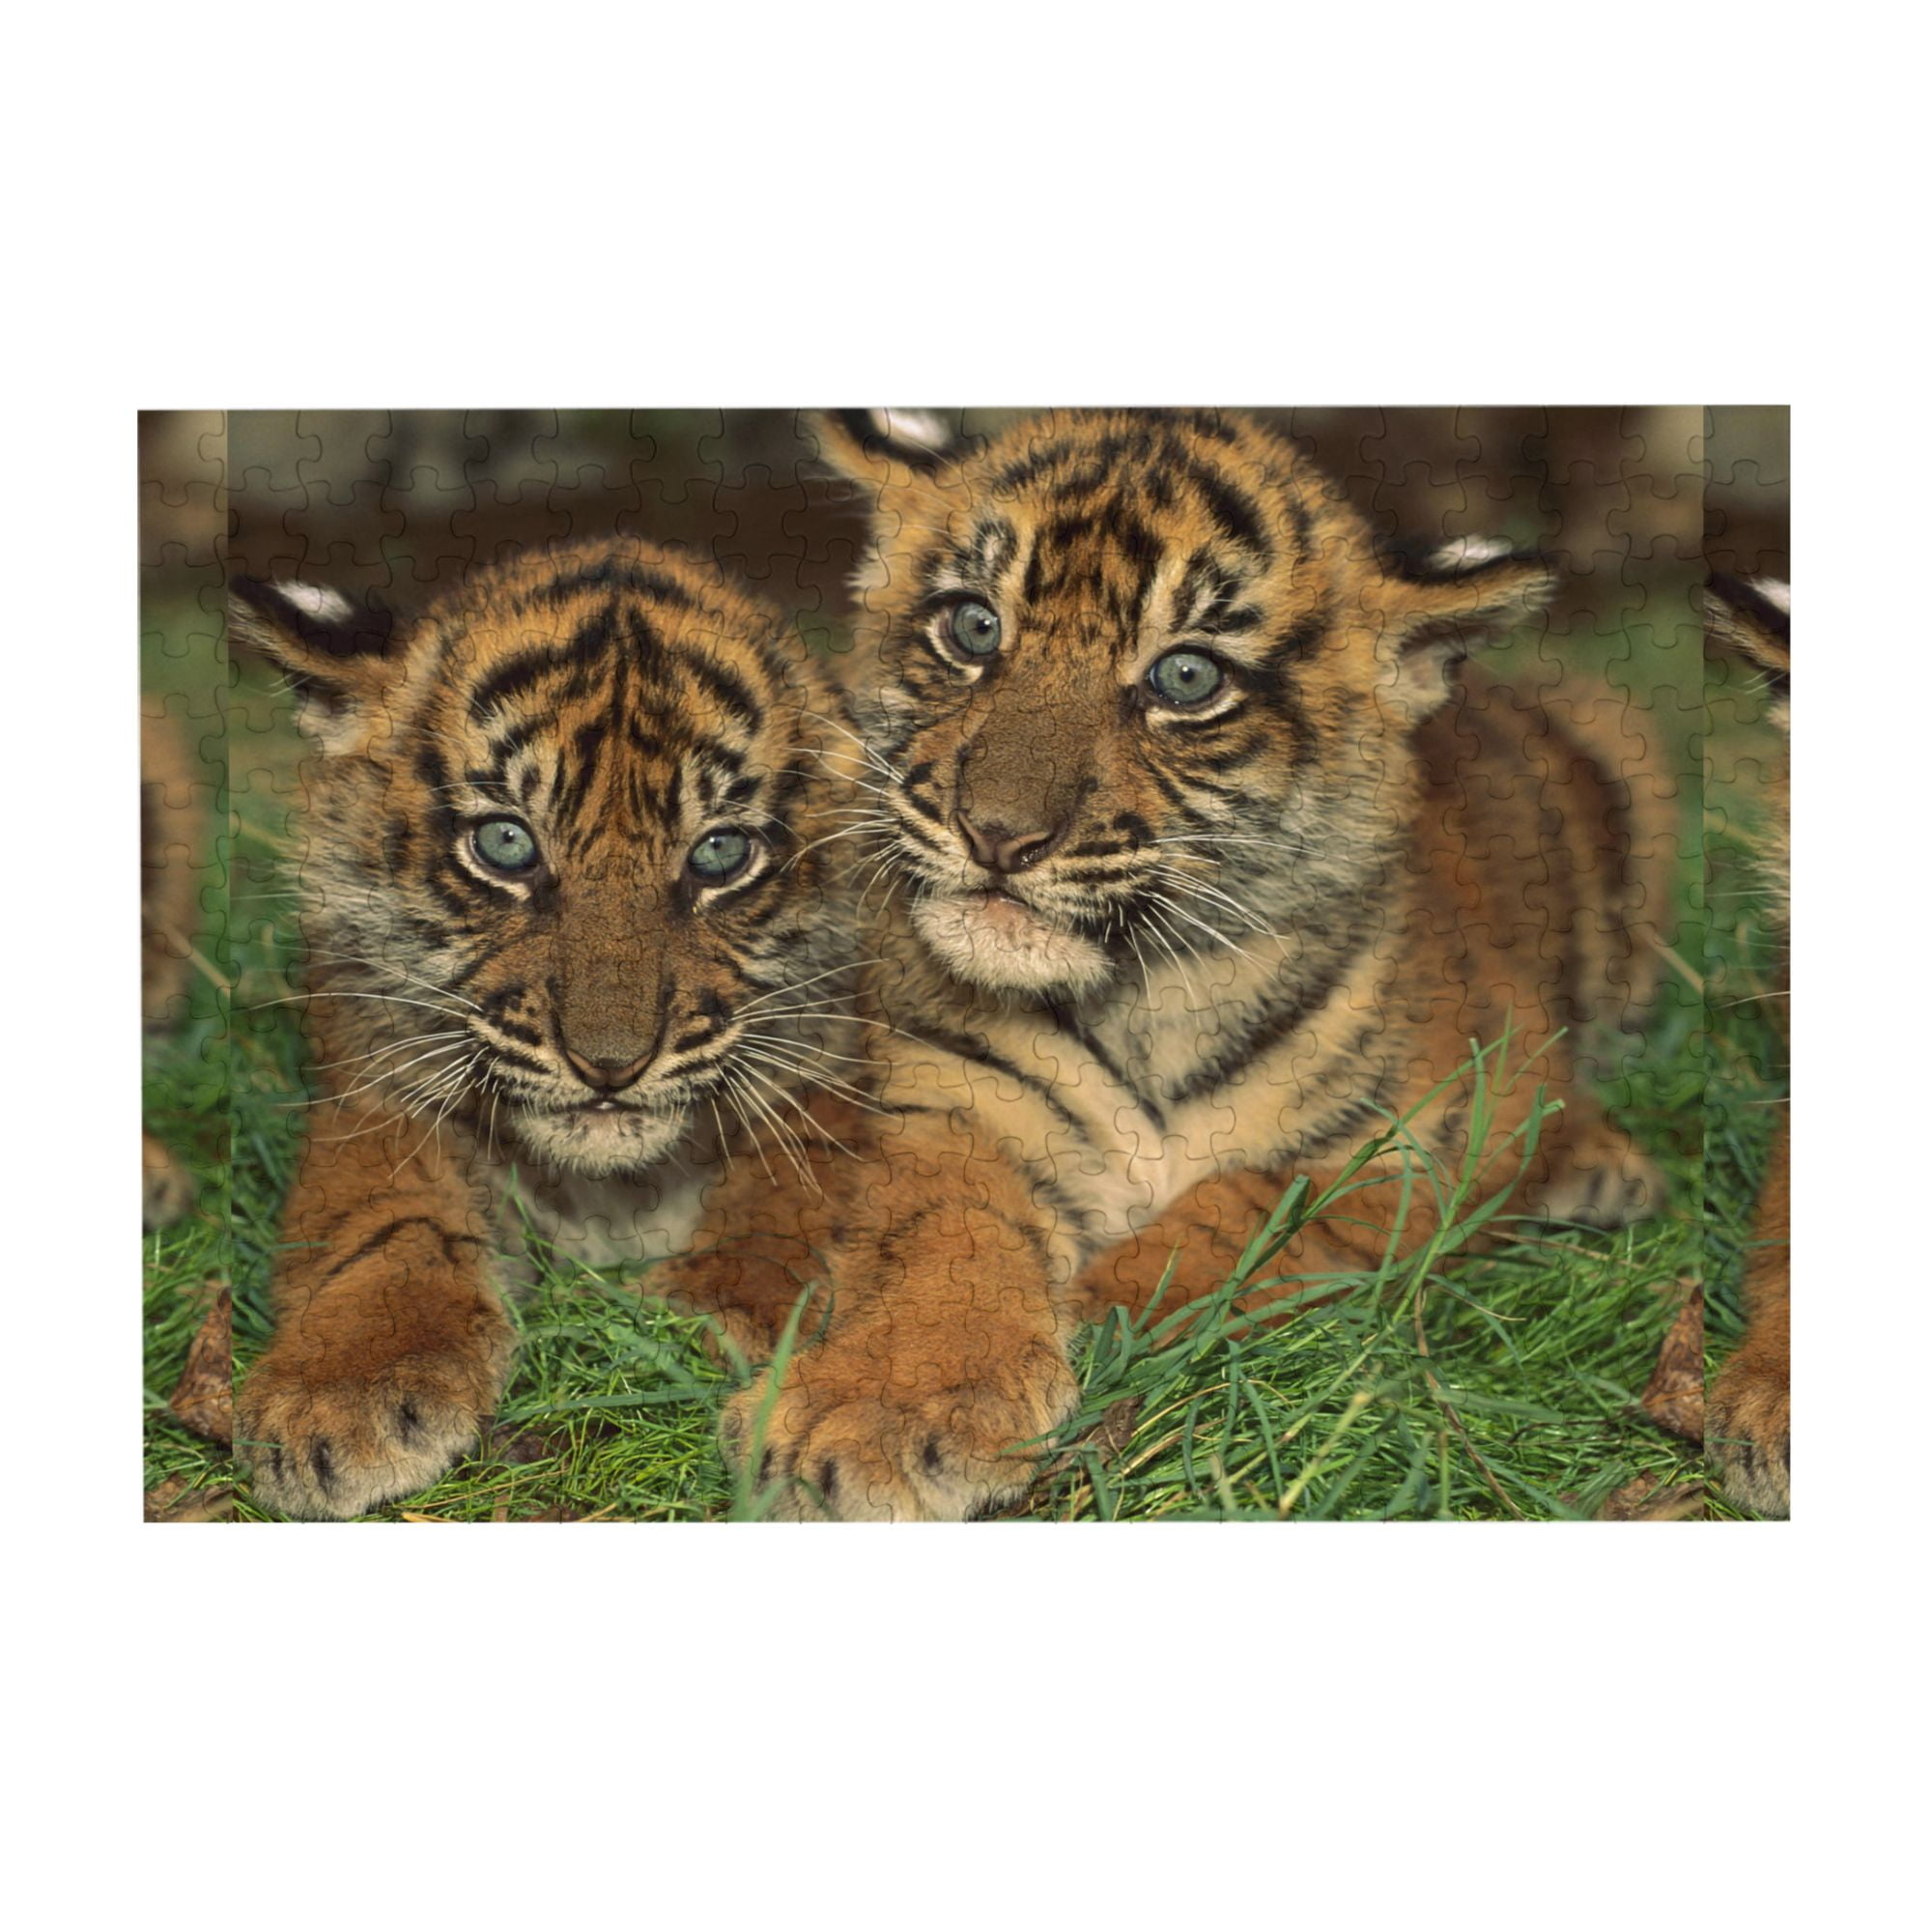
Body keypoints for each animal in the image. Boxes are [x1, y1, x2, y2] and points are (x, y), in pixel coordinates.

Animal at [229, 540, 859, 1519]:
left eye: (720, 853)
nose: (610, 1066)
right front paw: (340, 1391)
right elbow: (386, 1225)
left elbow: (785, 1195)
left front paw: (716, 1313)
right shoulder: (372, 1090)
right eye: (506, 845)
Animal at [657, 407, 1665, 1521]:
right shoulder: (948, 1111)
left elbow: (1247, 1205)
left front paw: (1099, 1312)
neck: (1141, 995)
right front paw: (875, 1409)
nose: (996, 833)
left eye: (1187, 677)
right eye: (973, 628)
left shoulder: (1429, 1142)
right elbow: (943, 1243)